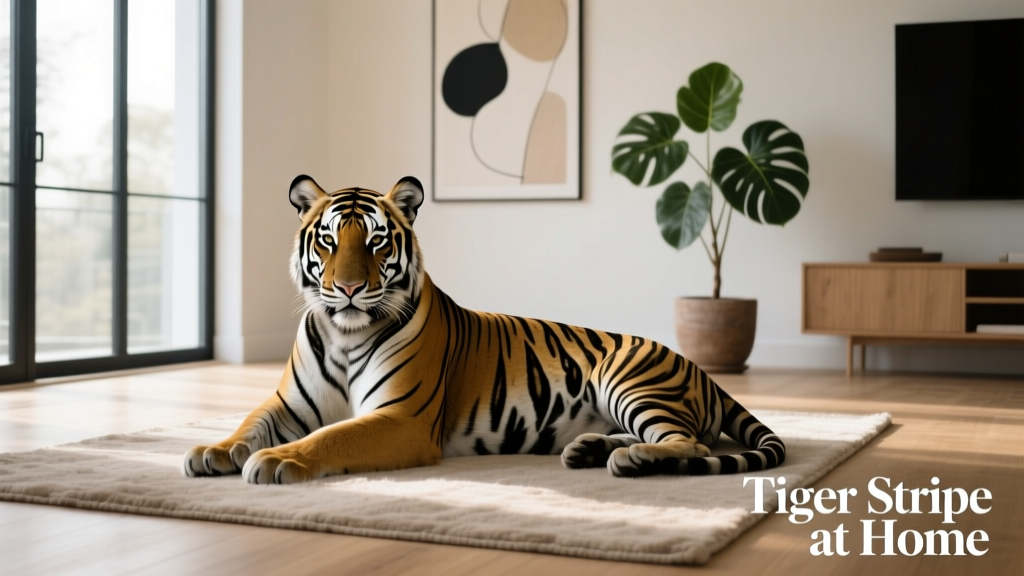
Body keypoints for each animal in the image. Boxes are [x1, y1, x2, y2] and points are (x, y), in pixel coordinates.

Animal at [181, 176, 785, 484]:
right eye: (328, 240)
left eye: (376, 241)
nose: (349, 288)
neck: (343, 333)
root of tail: (701, 371)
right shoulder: (288, 404)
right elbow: (249, 424)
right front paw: (213, 450)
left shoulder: (401, 418)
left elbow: (332, 436)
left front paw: (277, 460)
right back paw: (587, 450)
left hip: (626, 377)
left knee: (687, 441)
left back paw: (626, 460)